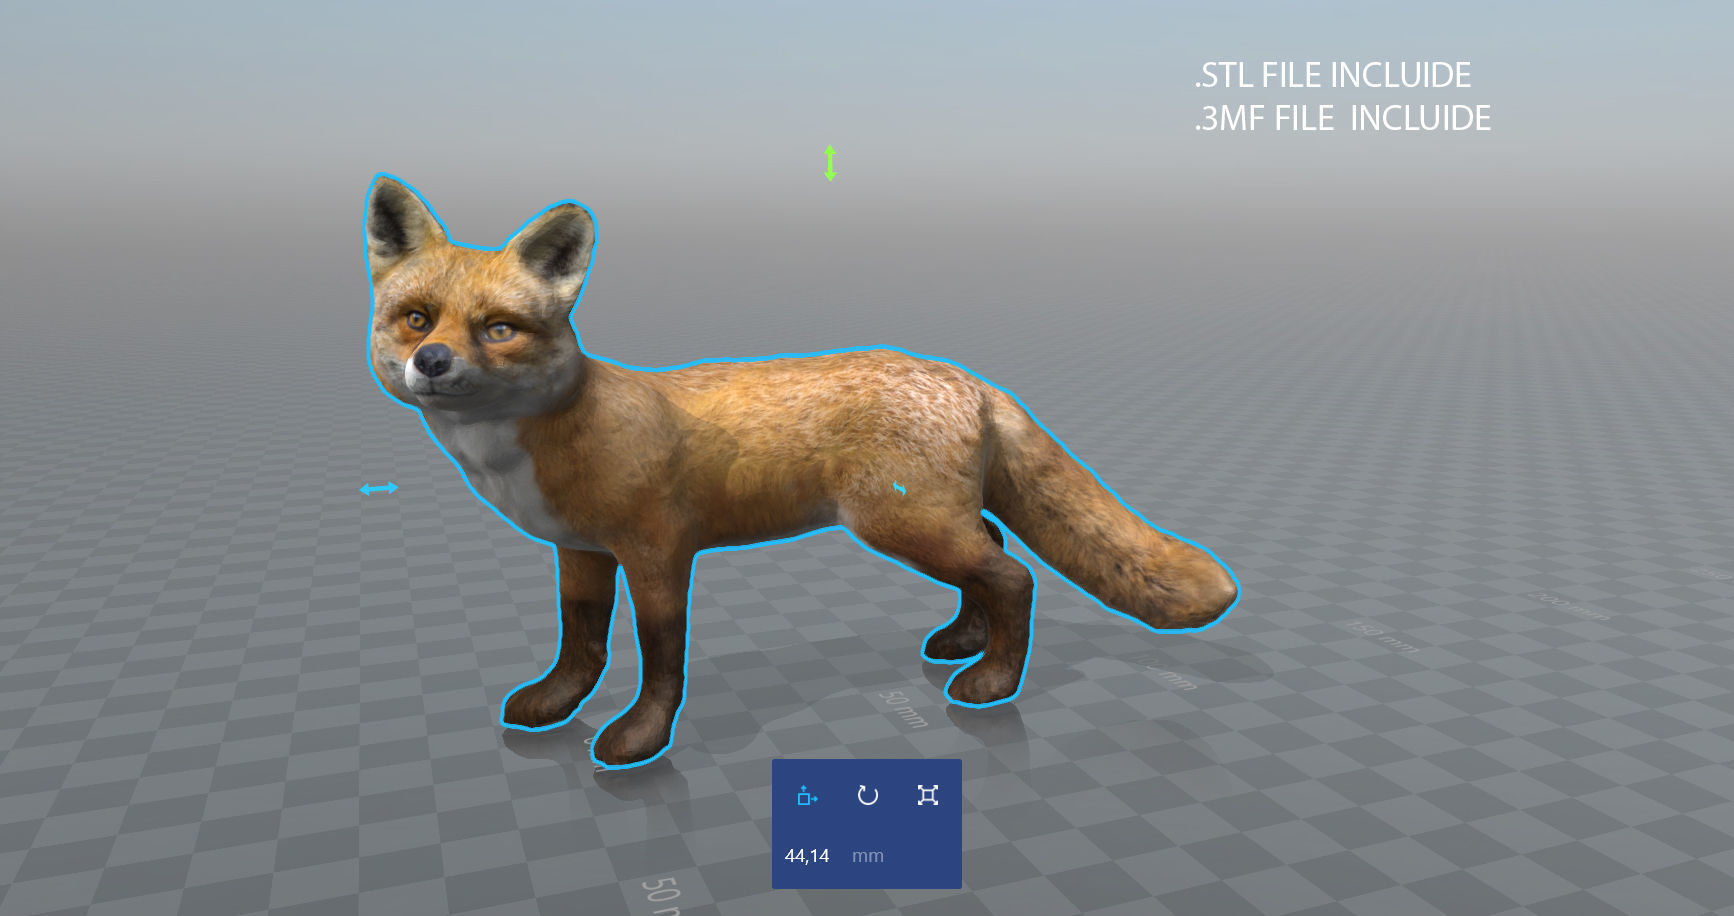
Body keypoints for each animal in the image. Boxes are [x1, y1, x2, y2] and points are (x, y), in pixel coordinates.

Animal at [364, 174, 1240, 768]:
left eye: (498, 329)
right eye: (416, 319)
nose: (432, 363)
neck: (538, 442)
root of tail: (963, 376)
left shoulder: (656, 552)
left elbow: (660, 657)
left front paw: (641, 737)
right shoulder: (578, 549)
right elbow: (580, 641)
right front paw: (556, 703)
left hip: (901, 524)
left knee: (1014, 574)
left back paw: (992, 678)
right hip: (928, 522)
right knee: (993, 548)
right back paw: (963, 639)